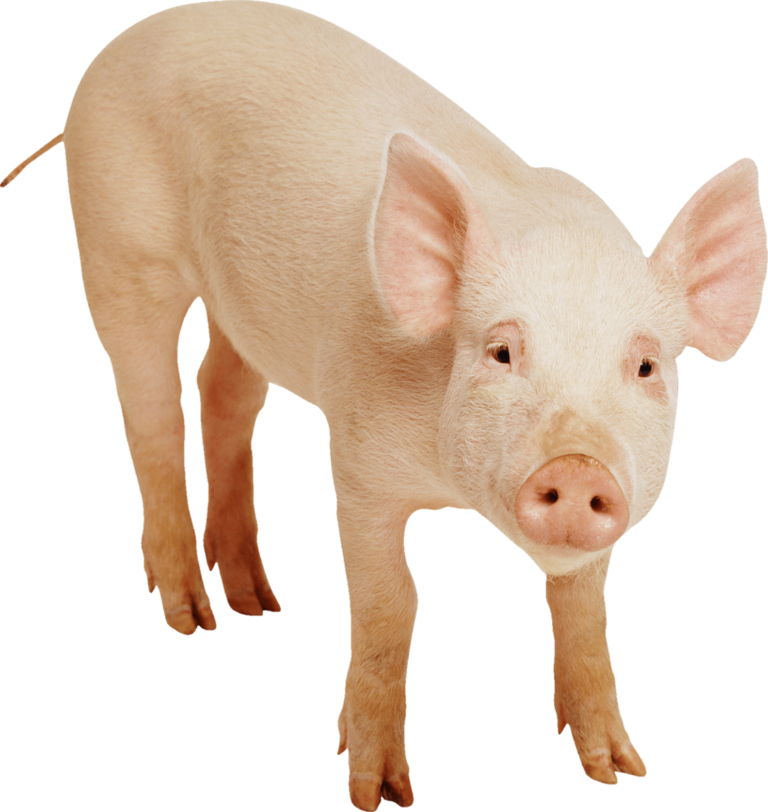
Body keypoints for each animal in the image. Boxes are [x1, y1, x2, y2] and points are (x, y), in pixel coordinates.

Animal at [3, 2, 765, 809]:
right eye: (501, 351)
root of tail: (123, 42)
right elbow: (392, 601)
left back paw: (256, 600)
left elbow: (584, 608)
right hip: (117, 248)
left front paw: (618, 770)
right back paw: (193, 617)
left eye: (646, 365)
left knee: (223, 392)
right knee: (150, 412)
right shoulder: (358, 458)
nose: (580, 465)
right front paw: (377, 793)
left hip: (245, 308)